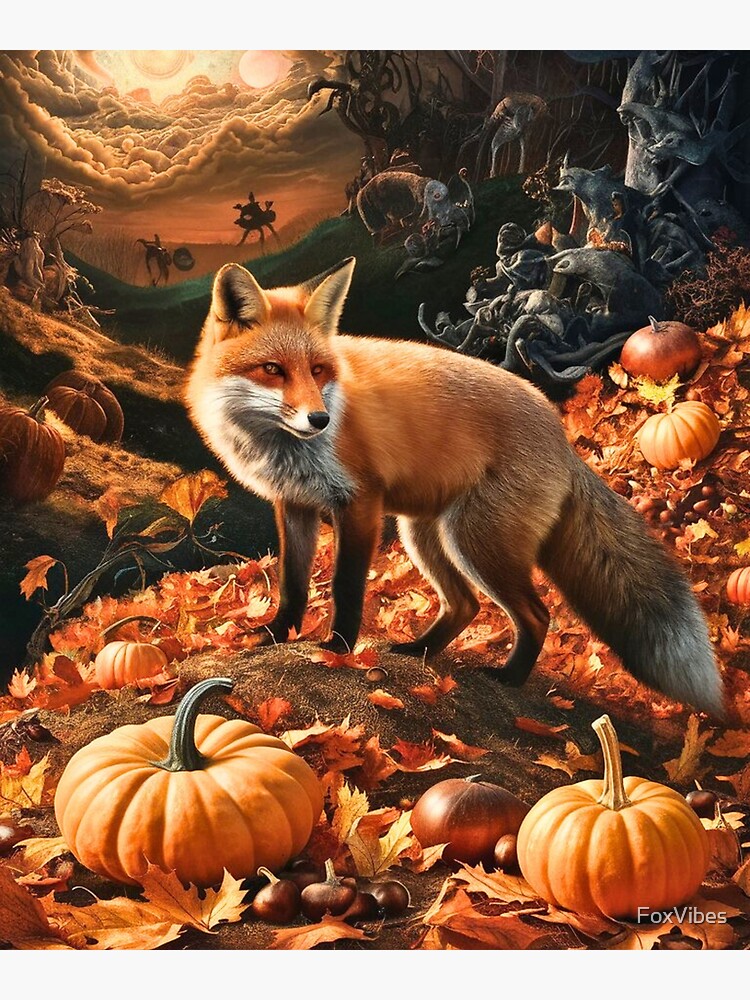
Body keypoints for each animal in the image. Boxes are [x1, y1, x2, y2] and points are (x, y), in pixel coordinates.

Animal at [186, 257, 725, 717]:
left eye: (318, 371)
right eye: (272, 370)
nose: (320, 420)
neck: (283, 448)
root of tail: (561, 436)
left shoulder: (359, 501)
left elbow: (345, 586)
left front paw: (337, 650)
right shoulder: (293, 503)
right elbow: (292, 585)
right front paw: (276, 637)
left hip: (474, 542)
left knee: (536, 613)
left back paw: (510, 678)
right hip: (426, 534)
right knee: (465, 604)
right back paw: (419, 651)